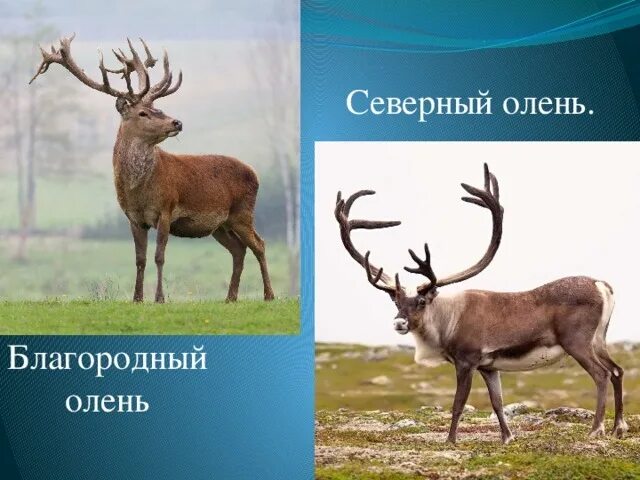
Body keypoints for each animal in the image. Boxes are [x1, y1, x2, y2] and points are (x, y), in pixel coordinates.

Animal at [30, 34, 274, 303]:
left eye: (159, 108)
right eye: (143, 112)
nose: (177, 122)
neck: (138, 191)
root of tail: (254, 173)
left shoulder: (166, 209)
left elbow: (159, 257)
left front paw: (159, 298)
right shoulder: (134, 218)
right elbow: (140, 259)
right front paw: (137, 298)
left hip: (243, 212)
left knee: (259, 244)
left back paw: (268, 295)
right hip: (220, 224)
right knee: (239, 249)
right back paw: (230, 297)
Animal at [334, 164, 626, 444]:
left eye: (421, 300)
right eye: (395, 300)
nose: (399, 322)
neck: (447, 322)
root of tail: (602, 285)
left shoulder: (467, 360)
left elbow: (458, 404)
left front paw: (450, 440)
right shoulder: (489, 367)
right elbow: (497, 402)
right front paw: (507, 437)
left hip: (576, 341)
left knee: (601, 374)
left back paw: (596, 430)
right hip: (598, 339)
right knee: (617, 370)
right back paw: (617, 428)